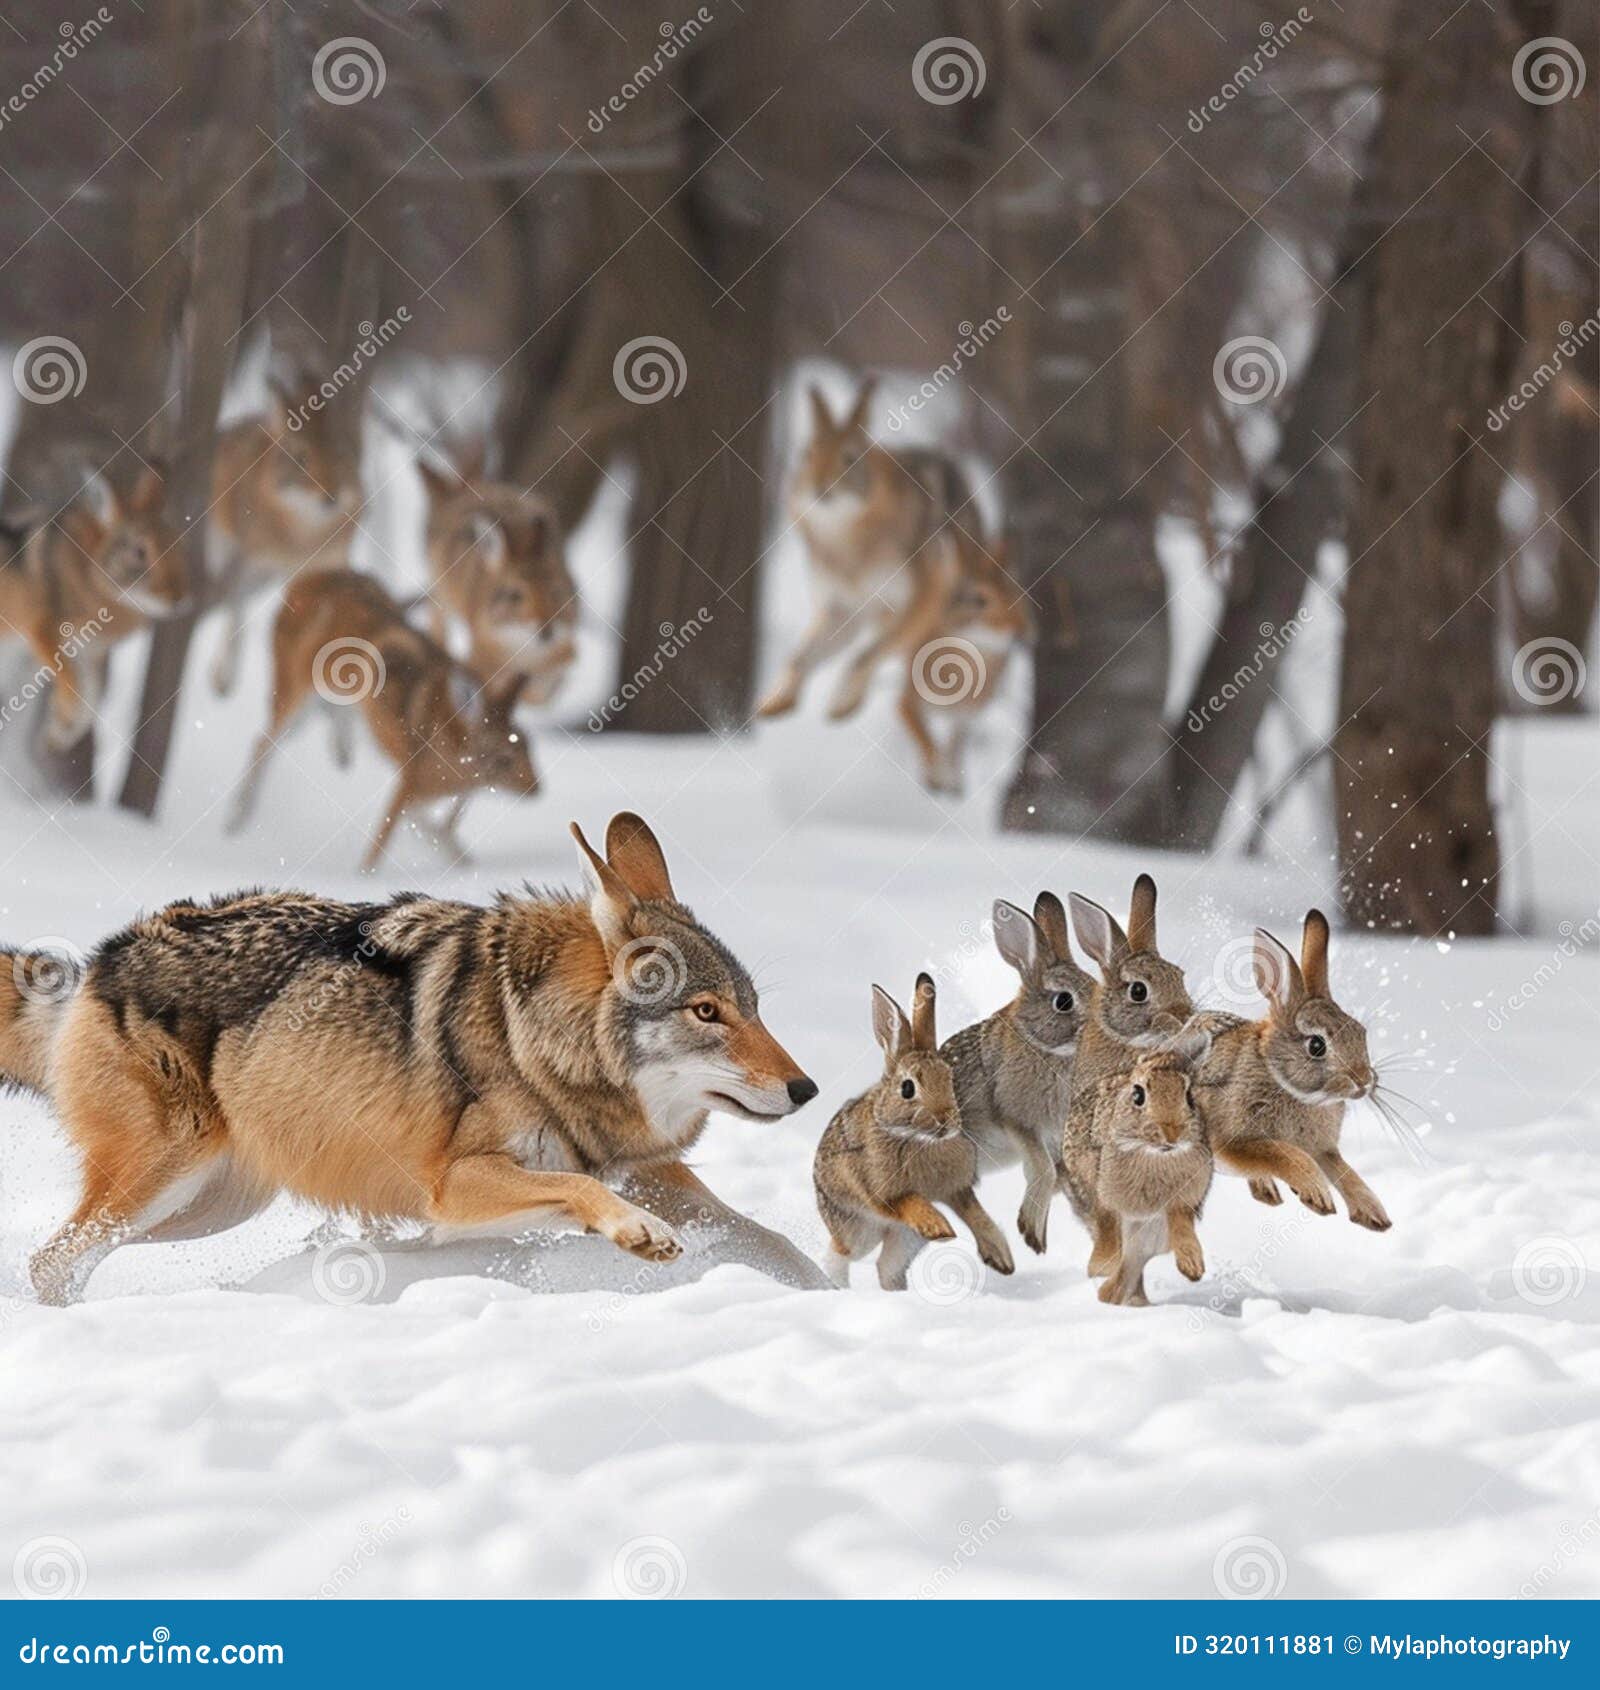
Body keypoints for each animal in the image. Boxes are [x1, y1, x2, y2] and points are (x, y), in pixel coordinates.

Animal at [814, 972, 1014, 1290]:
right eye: (908, 1088)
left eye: (949, 1079)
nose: (946, 1120)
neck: (916, 1138)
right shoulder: (882, 1192)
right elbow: (910, 1201)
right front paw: (939, 1228)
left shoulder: (956, 1188)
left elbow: (975, 1212)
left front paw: (1000, 1256)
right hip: (854, 1227)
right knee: (839, 1253)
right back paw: (837, 1288)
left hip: (905, 1238)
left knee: (887, 1266)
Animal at [1087, 1027, 1214, 1306]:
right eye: (1138, 1094)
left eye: (1189, 1097)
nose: (1171, 1133)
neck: (1154, 1156)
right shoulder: (1105, 1198)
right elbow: (1106, 1222)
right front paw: (1101, 1266)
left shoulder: (1183, 1199)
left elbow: (1181, 1224)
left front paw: (1192, 1266)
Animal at [1190, 911, 1391, 1230]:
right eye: (1317, 1045)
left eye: (1361, 1032)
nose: (1363, 1081)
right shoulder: (1231, 1141)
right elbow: (1283, 1153)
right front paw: (1317, 1194)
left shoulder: (1324, 1148)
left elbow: (1344, 1171)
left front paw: (1374, 1214)